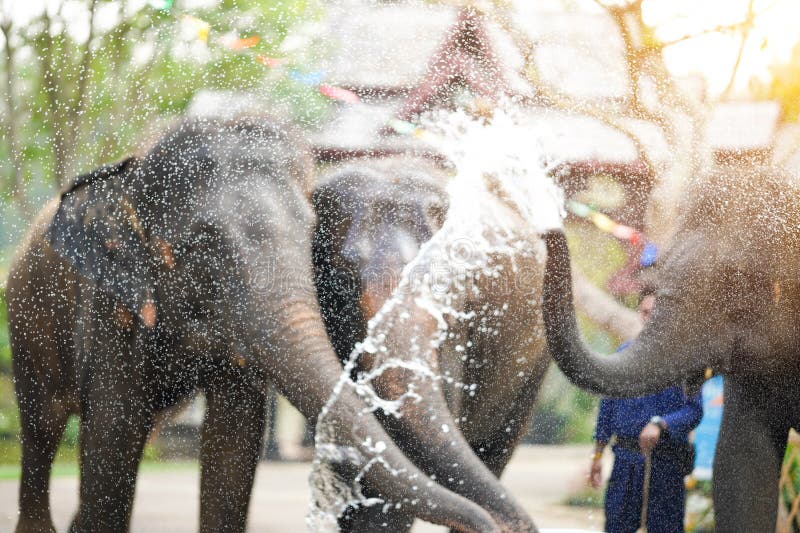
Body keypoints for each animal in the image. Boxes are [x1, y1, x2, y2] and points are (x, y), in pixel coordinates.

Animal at [6, 118, 505, 533]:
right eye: (203, 242)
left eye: (311, 232)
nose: (493, 524)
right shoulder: (110, 308)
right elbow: (113, 430)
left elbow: (233, 443)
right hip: (23, 323)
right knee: (41, 429)